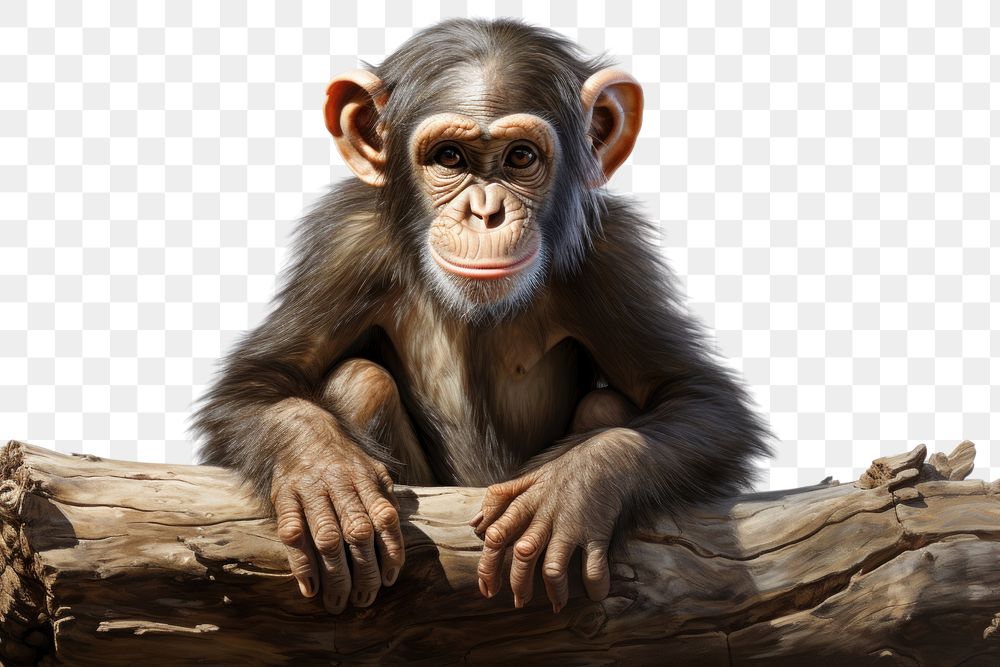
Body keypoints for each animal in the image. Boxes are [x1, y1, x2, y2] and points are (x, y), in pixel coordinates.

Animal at [192, 18, 771, 615]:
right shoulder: (345, 243)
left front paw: (576, 487)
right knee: (360, 380)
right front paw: (324, 475)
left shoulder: (614, 256)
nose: (486, 212)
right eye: (450, 158)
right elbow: (261, 380)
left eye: (520, 158)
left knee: (607, 403)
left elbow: (696, 394)